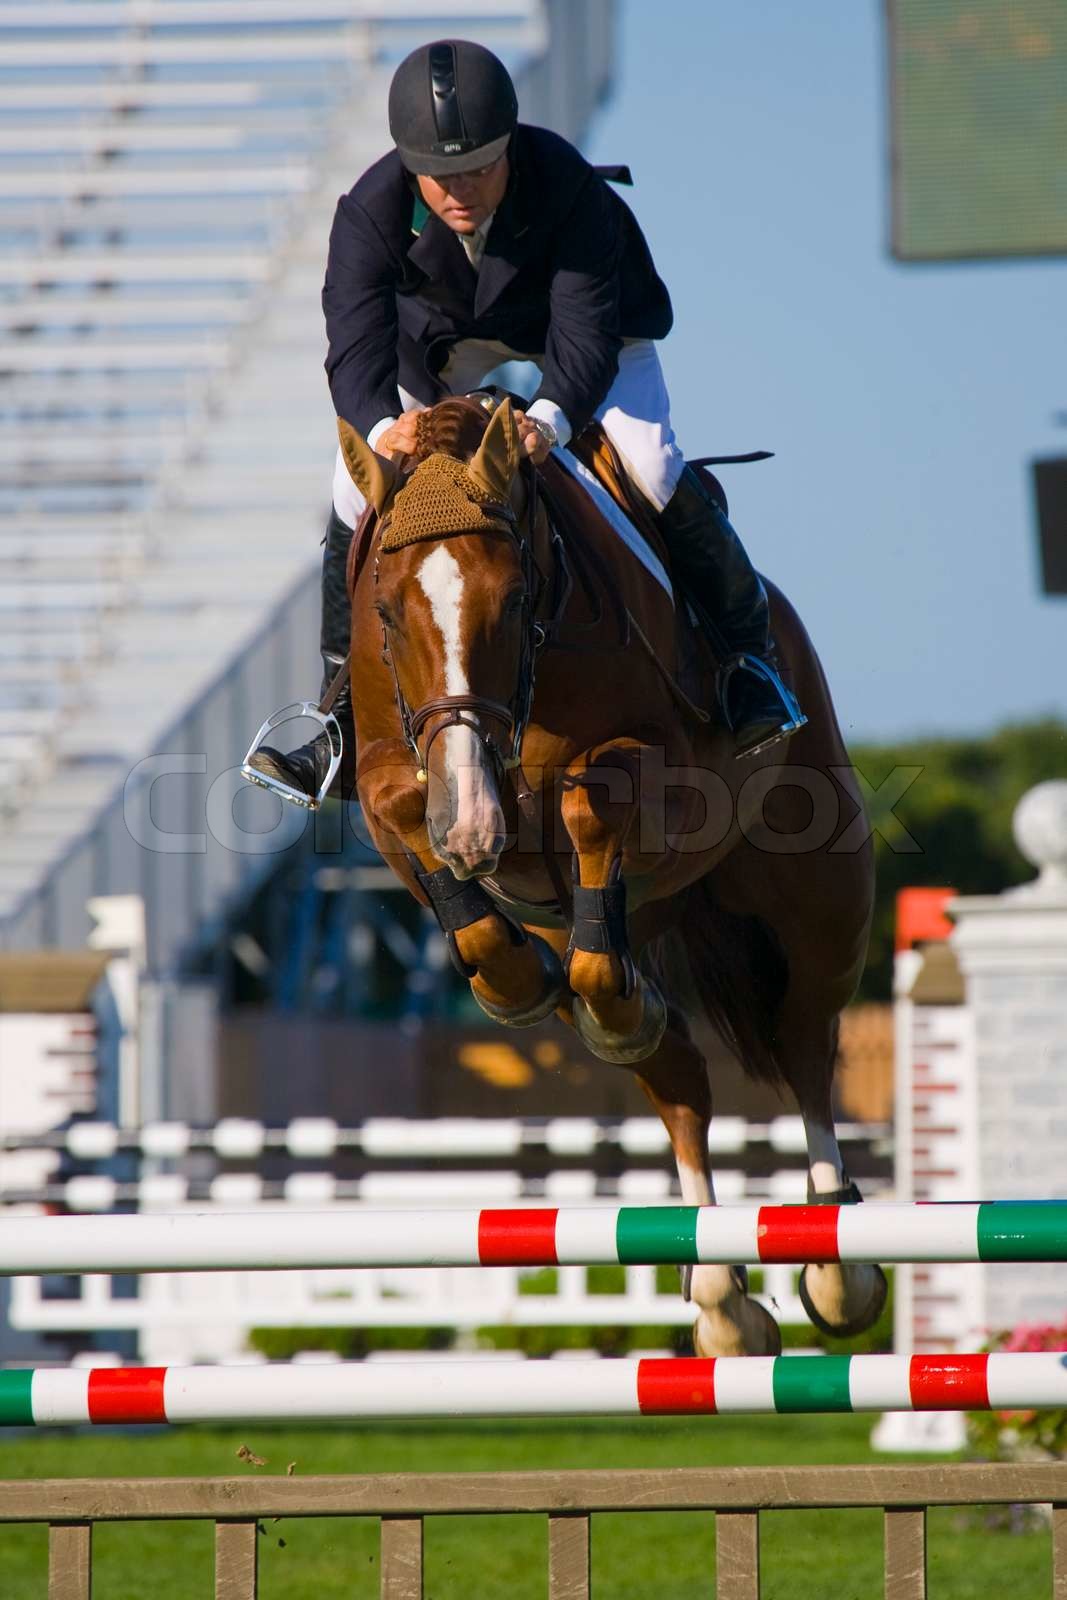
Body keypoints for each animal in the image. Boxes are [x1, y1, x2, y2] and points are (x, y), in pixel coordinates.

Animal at [340, 394, 884, 1357]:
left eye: (515, 599)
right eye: (389, 614)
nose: (471, 823)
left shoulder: (653, 770)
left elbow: (593, 800)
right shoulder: (388, 784)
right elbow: (408, 815)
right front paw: (514, 978)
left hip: (814, 903)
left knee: (803, 1043)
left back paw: (835, 1263)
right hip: (645, 918)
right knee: (675, 1077)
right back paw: (720, 1300)